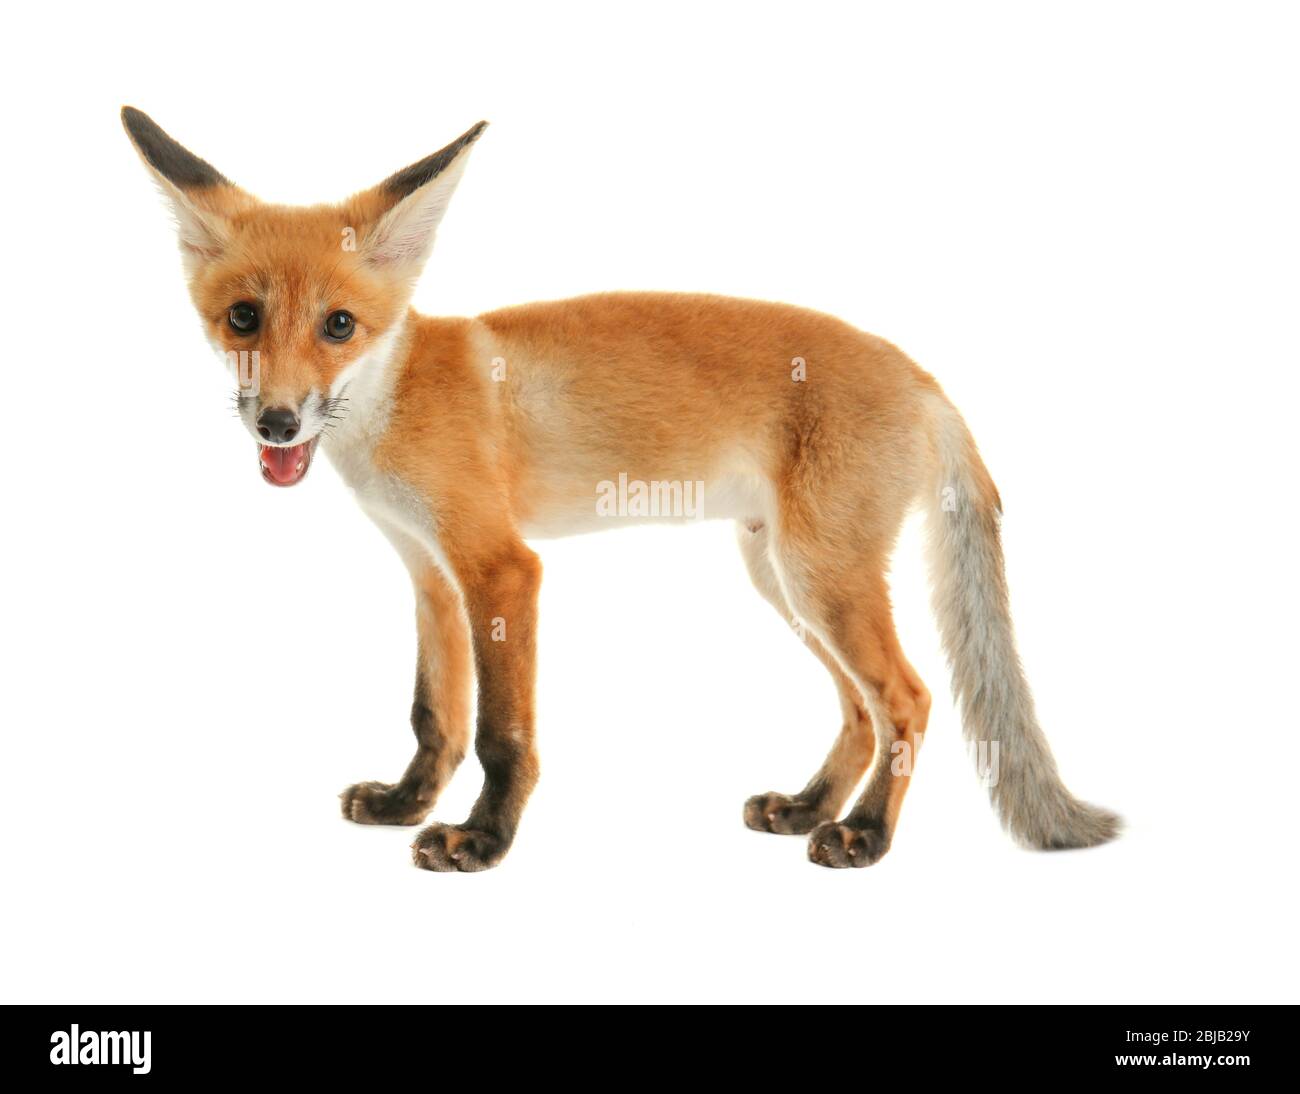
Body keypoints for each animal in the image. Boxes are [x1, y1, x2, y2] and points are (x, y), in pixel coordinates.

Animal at [122, 107, 1120, 872]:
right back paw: (809, 808)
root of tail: (922, 376)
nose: (277, 424)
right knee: (860, 711)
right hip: (786, 580)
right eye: (242, 318)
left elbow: (500, 734)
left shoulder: (501, 569)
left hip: (821, 580)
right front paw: (408, 803)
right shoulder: (431, 574)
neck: (392, 406)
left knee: (908, 699)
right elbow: (434, 715)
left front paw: (482, 842)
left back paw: (865, 834)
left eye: (338, 326)